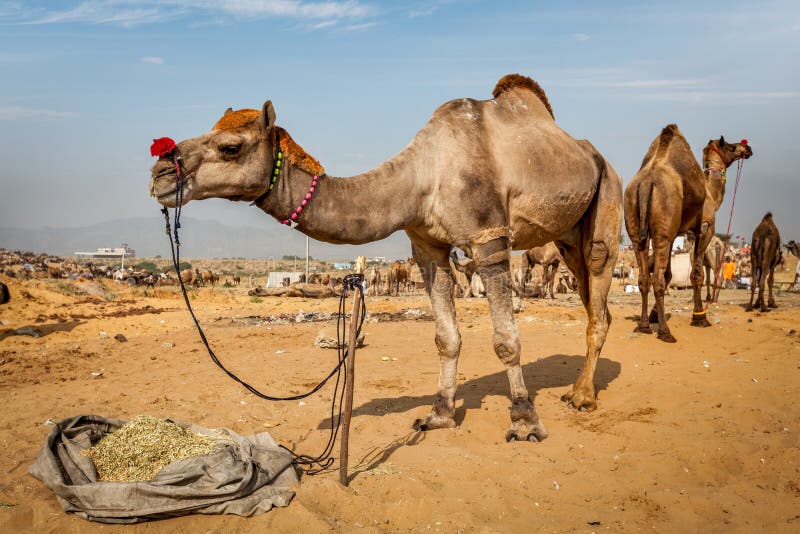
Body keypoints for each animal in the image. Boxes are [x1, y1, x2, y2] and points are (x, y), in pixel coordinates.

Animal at [150, 73, 622, 440]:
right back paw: (577, 388)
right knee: (590, 297)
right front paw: (438, 415)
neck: (423, 176)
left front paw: (524, 422)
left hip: (607, 199)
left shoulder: (489, 239)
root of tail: (596, 156)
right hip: (566, 236)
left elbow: (506, 340)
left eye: (230, 147)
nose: (159, 171)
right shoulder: (426, 248)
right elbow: (446, 337)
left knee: (599, 284)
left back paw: (582, 397)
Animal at [623, 125, 751, 342]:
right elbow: (696, 274)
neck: (711, 194)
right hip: (662, 229)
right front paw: (700, 317)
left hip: (637, 226)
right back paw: (665, 332)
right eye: (730, 146)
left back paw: (644, 326)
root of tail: (646, 184)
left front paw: (655, 314)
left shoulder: (674, 233)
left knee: (644, 277)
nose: (747, 148)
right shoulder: (704, 228)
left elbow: (669, 274)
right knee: (656, 279)